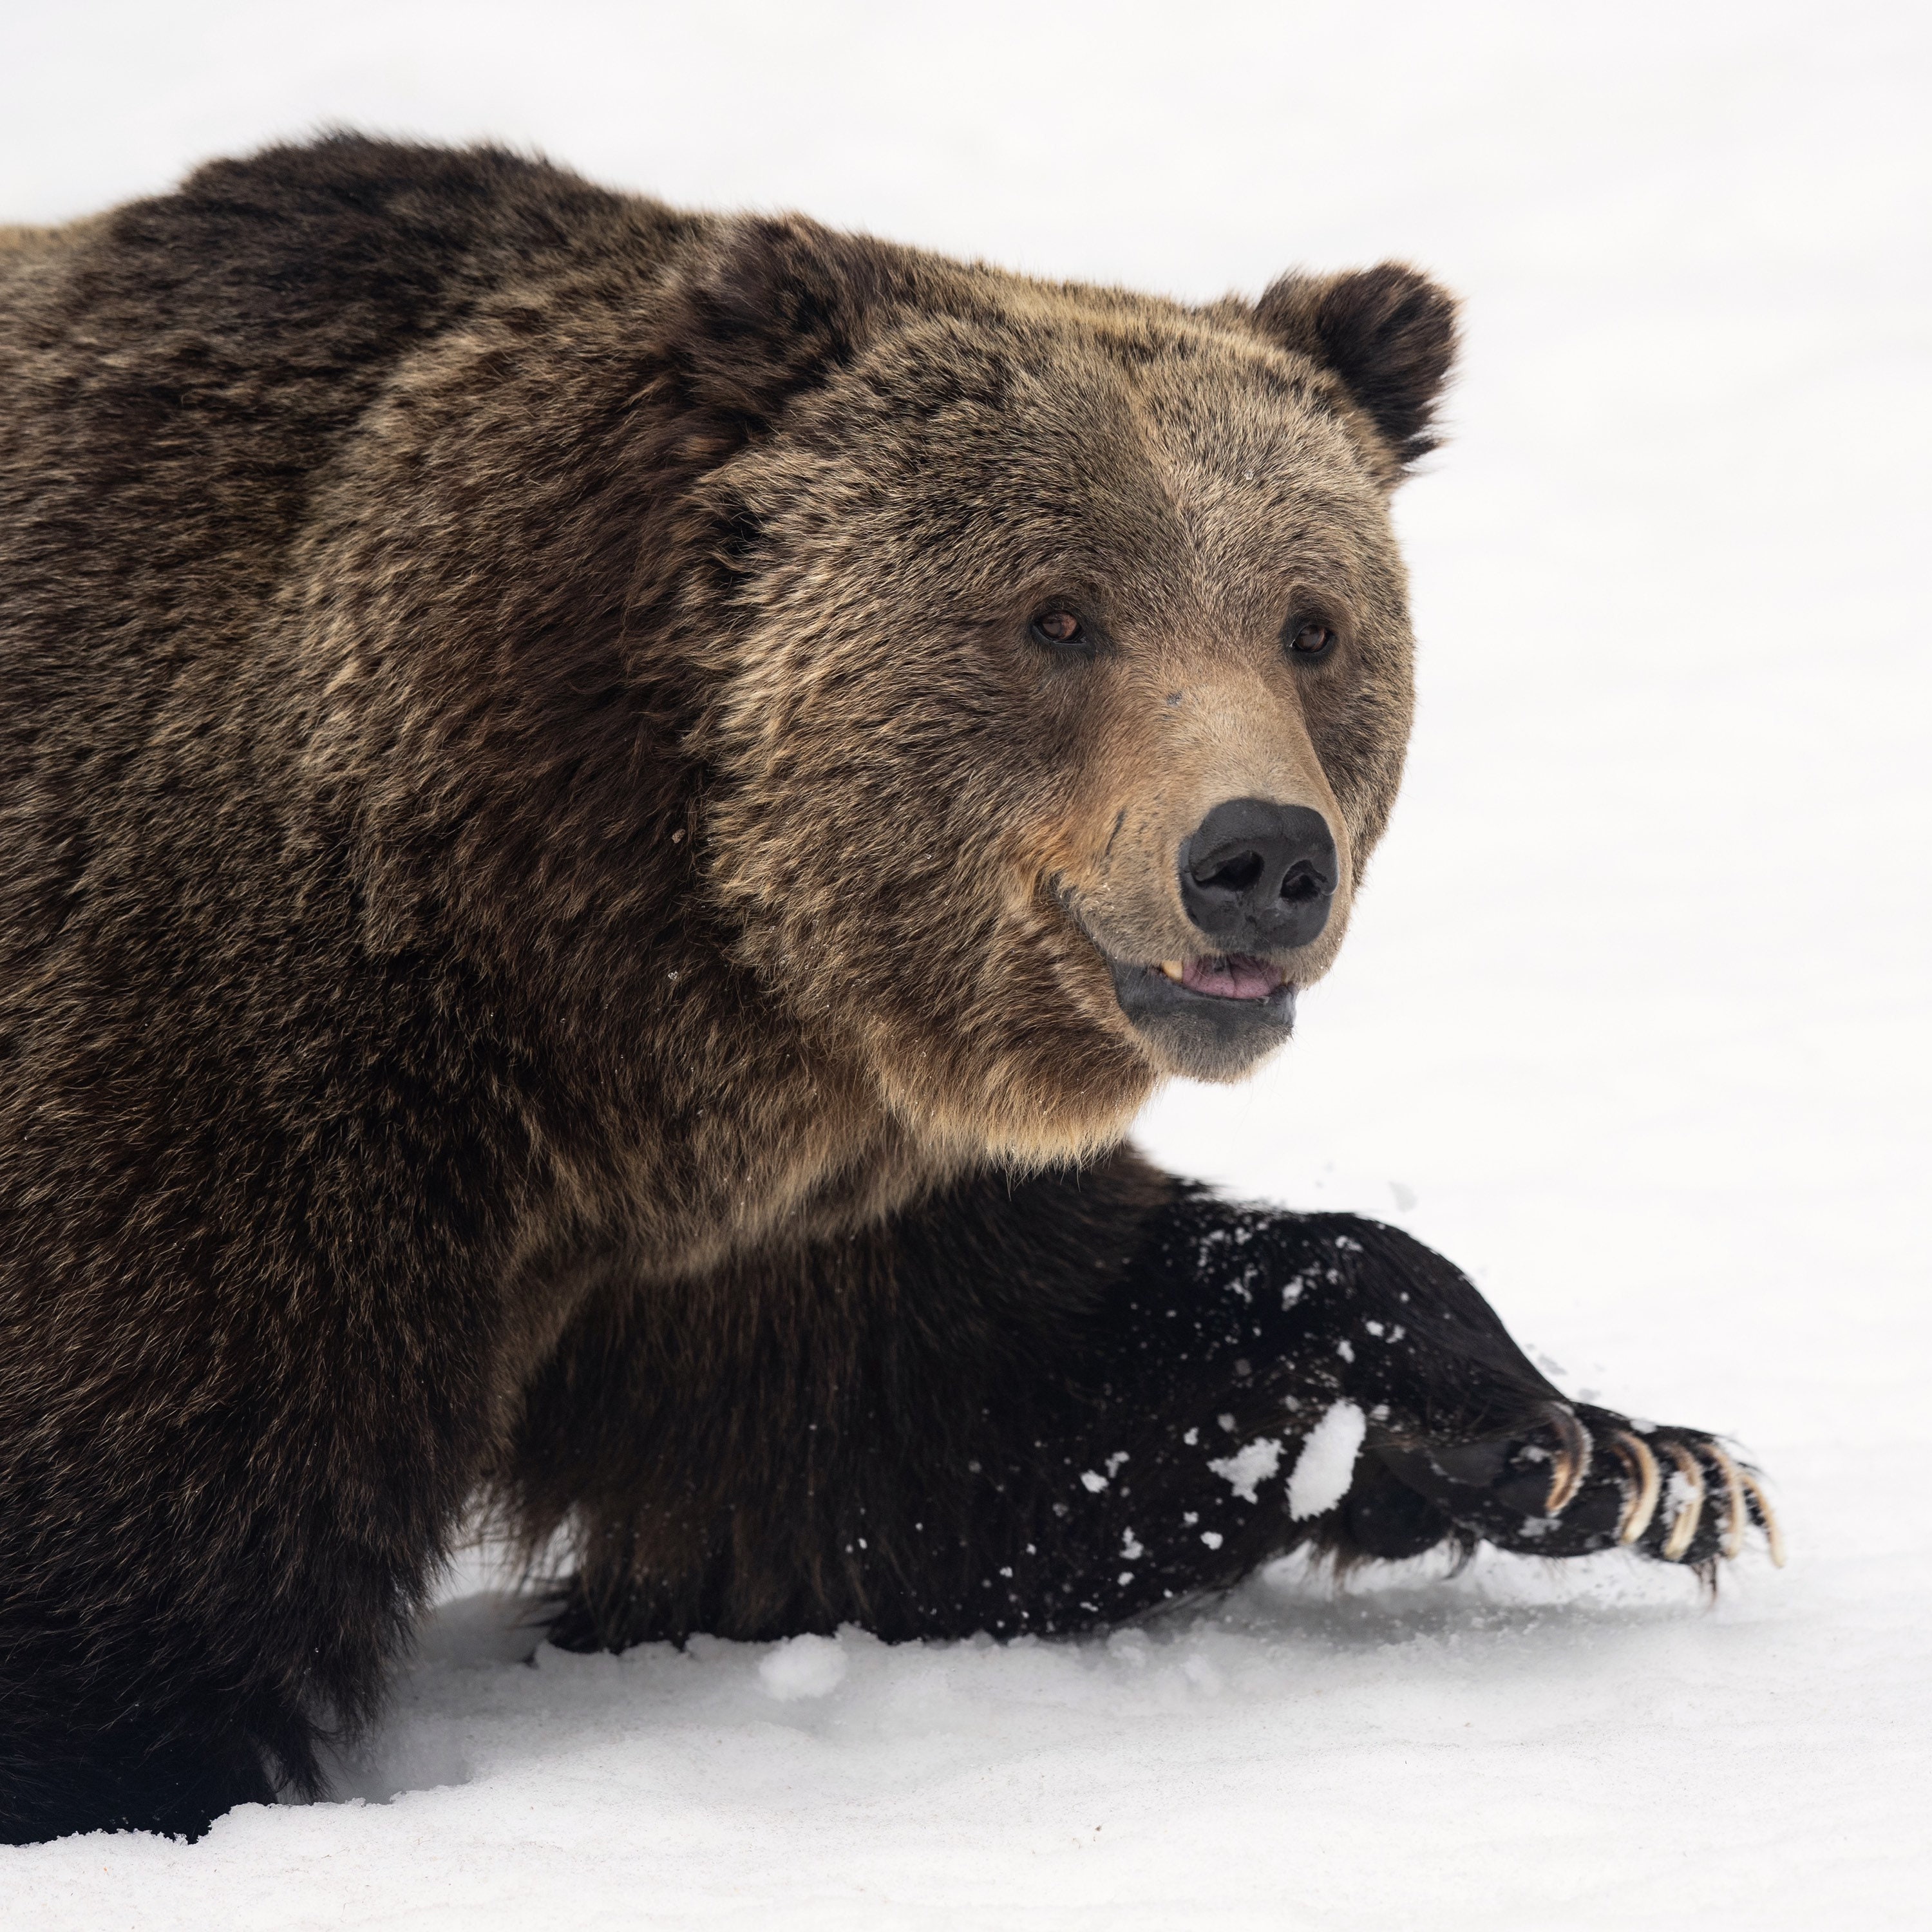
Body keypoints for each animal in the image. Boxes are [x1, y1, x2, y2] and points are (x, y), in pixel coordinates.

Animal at [0, 135, 1779, 1845]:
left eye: (1311, 626)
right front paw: (134, 1782)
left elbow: (954, 1448)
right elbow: (143, 1549)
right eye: (1056, 611)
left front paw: (1606, 1455)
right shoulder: (237, 1099)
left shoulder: (795, 1228)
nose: (1261, 858)